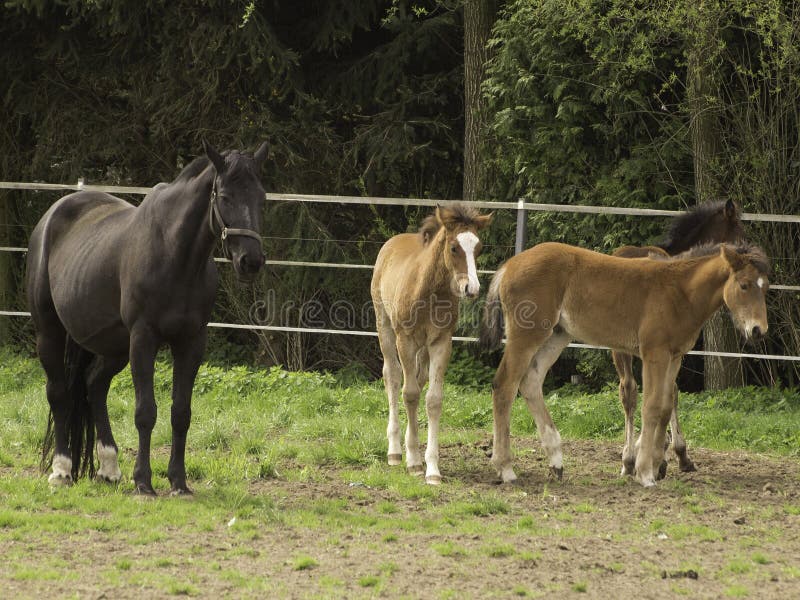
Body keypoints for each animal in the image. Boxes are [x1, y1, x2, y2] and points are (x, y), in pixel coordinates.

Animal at [26, 141, 268, 495]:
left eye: (261, 197)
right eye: (225, 197)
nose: (251, 261)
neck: (175, 255)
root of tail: (52, 216)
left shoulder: (191, 342)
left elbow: (181, 412)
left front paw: (178, 482)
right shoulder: (144, 337)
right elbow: (145, 412)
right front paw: (143, 482)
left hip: (113, 346)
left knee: (94, 386)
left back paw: (109, 467)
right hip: (50, 331)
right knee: (59, 393)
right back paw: (62, 470)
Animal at [371, 205, 492, 484]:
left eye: (479, 248)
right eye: (454, 248)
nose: (472, 288)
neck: (429, 291)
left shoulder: (441, 342)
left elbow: (433, 399)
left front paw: (432, 469)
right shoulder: (405, 339)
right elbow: (409, 393)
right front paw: (415, 463)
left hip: (423, 349)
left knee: (418, 378)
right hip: (385, 325)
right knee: (393, 377)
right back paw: (395, 451)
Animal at [479, 241, 769, 487]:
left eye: (765, 287)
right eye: (744, 285)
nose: (758, 331)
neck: (680, 291)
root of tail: (509, 265)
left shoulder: (674, 357)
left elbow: (665, 406)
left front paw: (656, 464)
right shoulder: (654, 354)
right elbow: (651, 407)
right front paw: (644, 473)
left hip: (557, 335)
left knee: (530, 382)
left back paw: (556, 462)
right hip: (527, 335)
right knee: (505, 385)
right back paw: (506, 468)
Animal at [612, 200, 745, 476]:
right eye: (740, 232)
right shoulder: (675, 348)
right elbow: (671, 392)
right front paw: (674, 454)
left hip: (619, 348)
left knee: (628, 390)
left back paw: (628, 460)